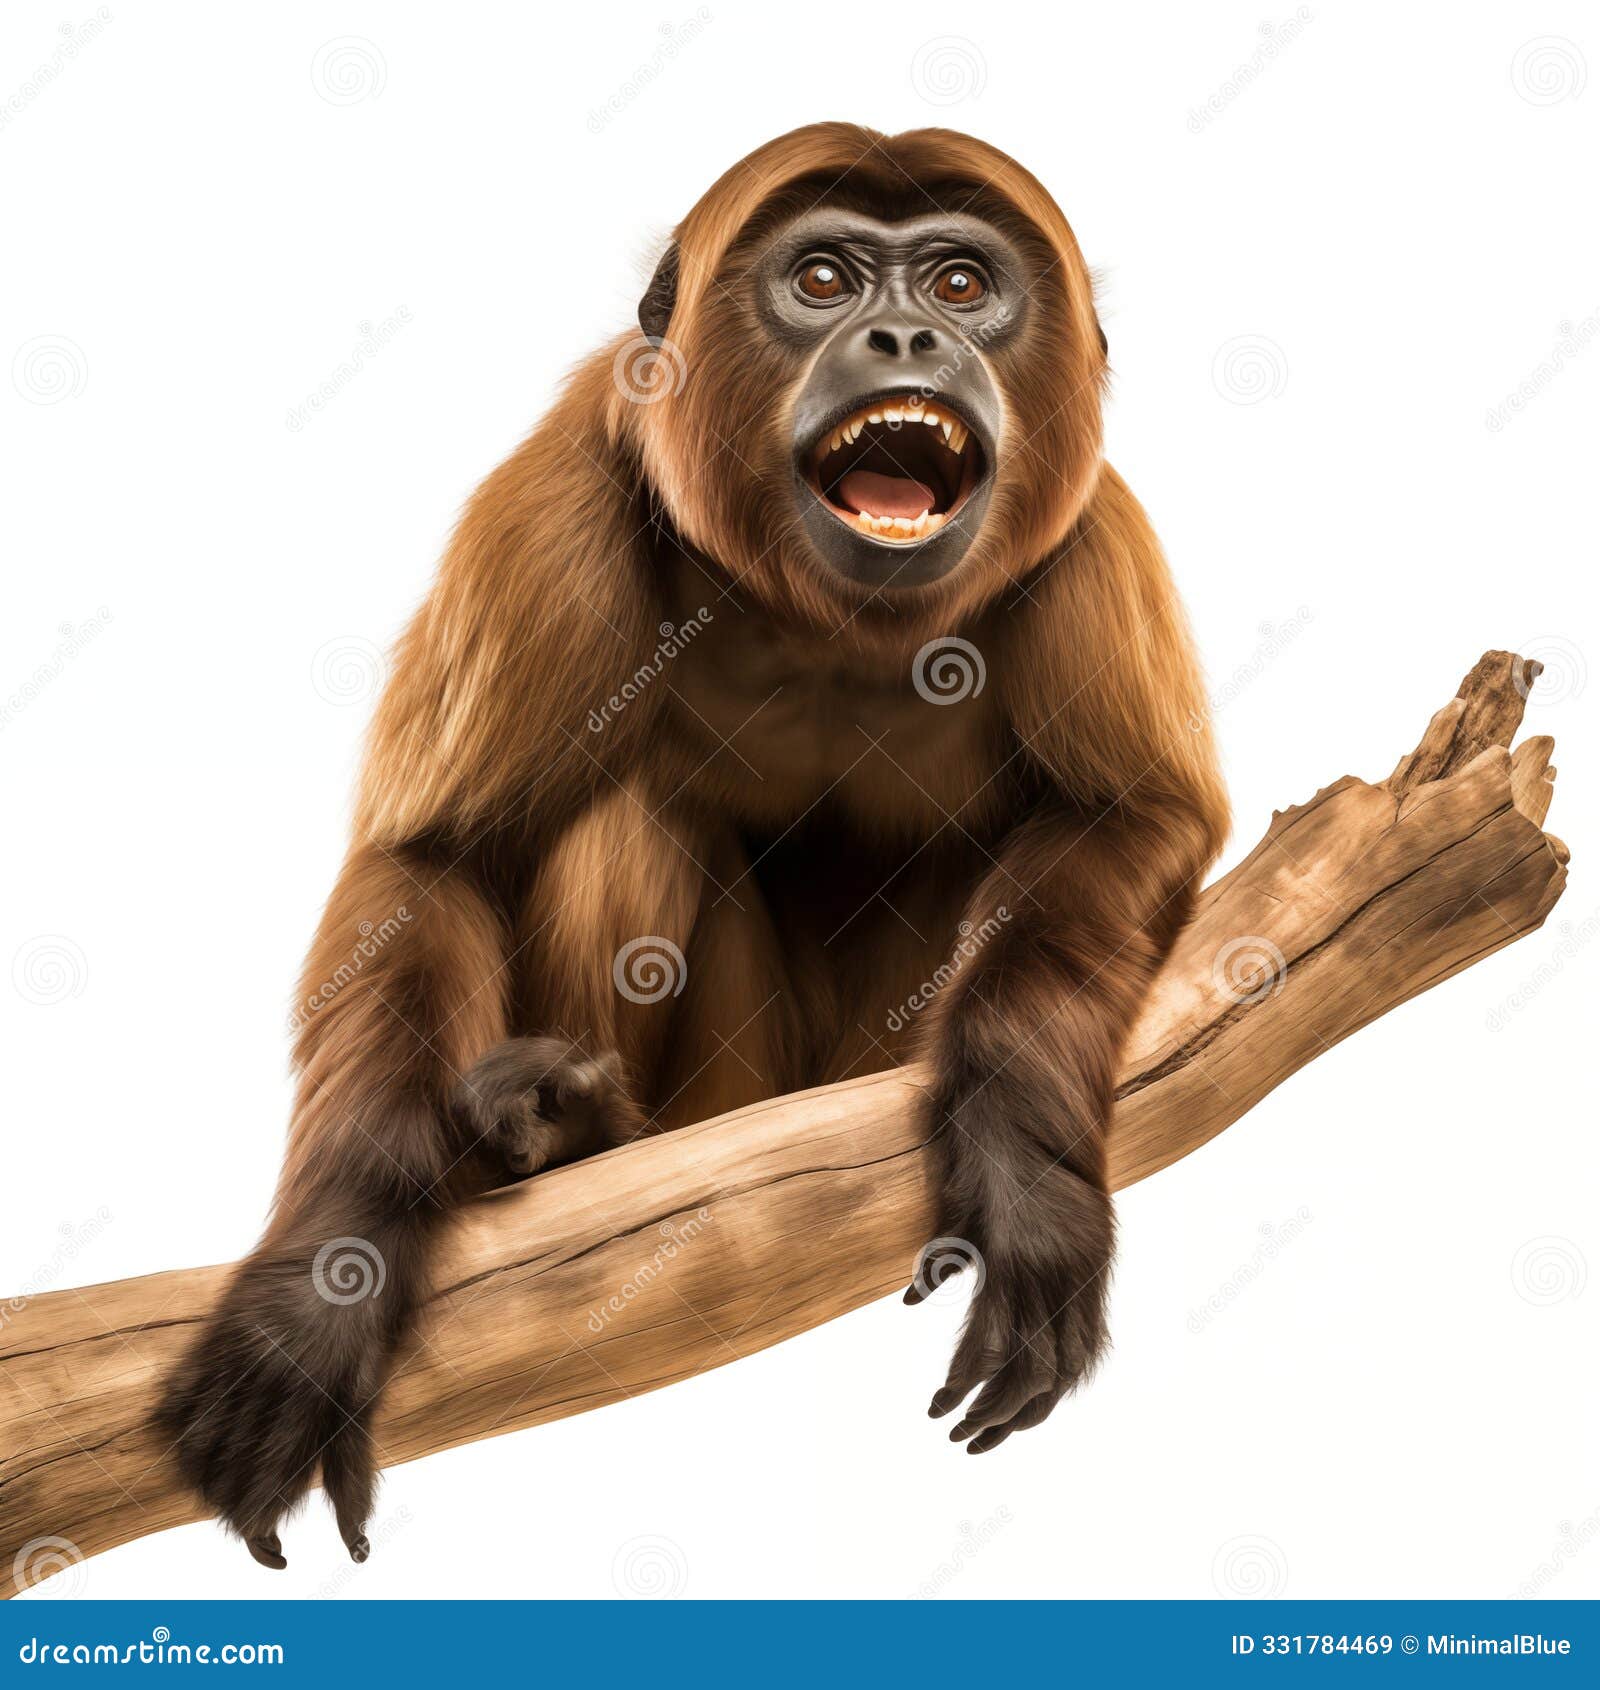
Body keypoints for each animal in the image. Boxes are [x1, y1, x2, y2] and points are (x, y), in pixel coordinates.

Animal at [157, 122, 1229, 1568]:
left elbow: (1140, 816)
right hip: (727, 1094)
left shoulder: (1087, 527)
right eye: (824, 279)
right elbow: (434, 861)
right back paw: (568, 1133)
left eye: (960, 285)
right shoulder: (560, 484)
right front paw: (323, 1285)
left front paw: (1025, 1168)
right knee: (626, 820)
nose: (906, 336)